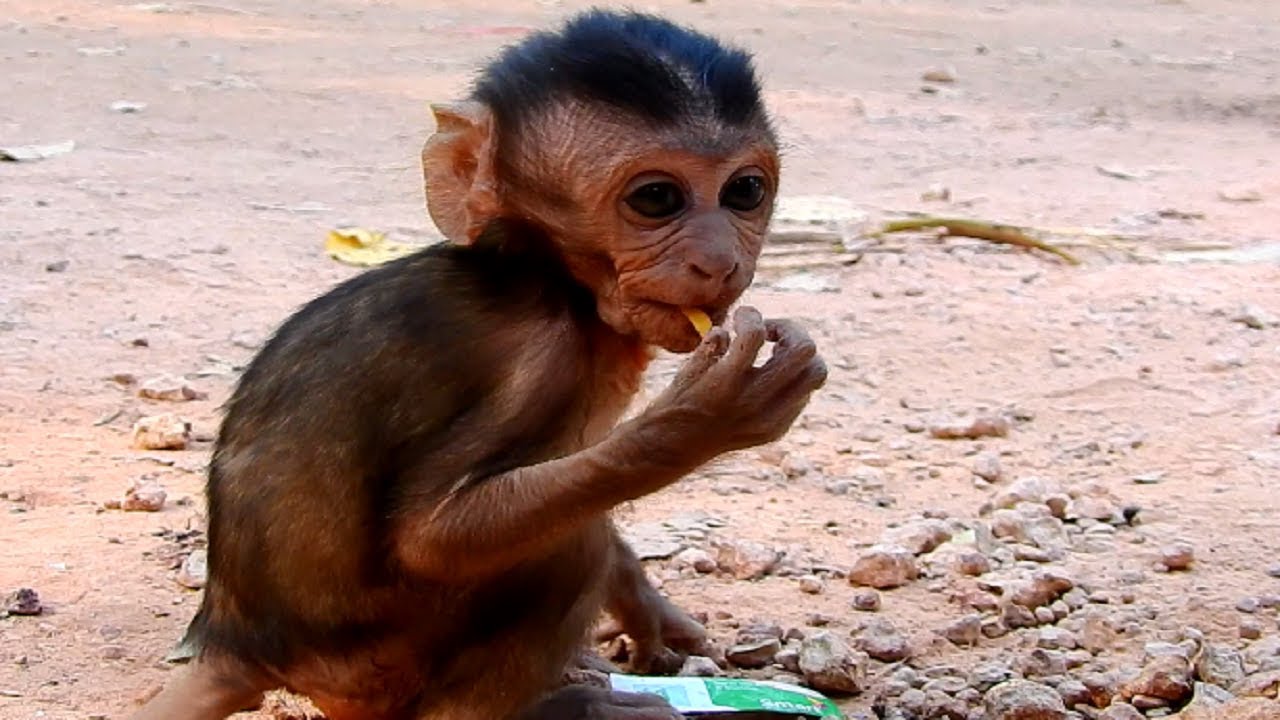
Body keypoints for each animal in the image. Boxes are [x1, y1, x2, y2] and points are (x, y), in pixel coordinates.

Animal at [130, 9, 827, 720]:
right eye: (657, 199)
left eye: (745, 191)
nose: (719, 262)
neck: (555, 279)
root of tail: (237, 645)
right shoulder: (539, 357)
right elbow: (428, 537)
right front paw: (709, 416)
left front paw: (653, 614)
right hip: (371, 668)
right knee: (567, 547)